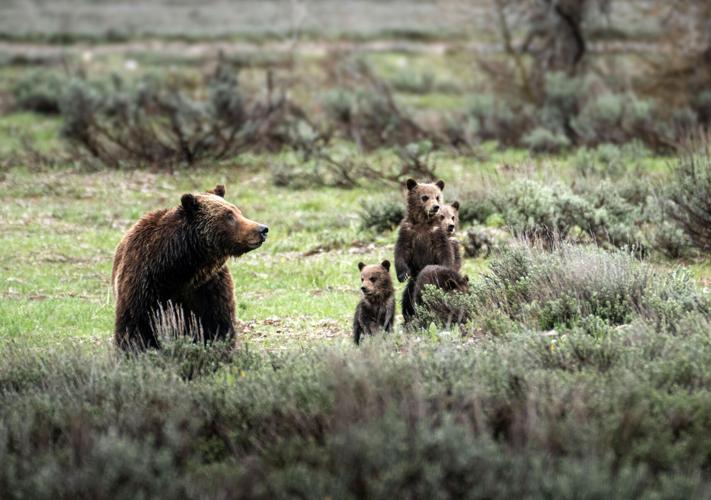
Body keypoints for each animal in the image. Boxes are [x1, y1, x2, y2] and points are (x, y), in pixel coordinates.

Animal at [112, 184, 268, 350]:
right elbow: (134, 327)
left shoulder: (209, 288)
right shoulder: (143, 284)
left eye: (238, 212)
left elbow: (218, 324)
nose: (262, 229)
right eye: (229, 216)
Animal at [394, 178, 455, 323]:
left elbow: (445, 252)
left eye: (437, 197)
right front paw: (402, 274)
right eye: (425, 197)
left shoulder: (437, 234)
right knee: (408, 298)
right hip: (414, 282)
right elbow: (401, 252)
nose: (435, 207)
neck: (423, 222)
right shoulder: (407, 232)